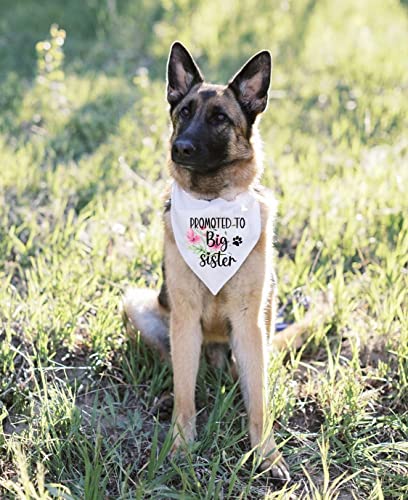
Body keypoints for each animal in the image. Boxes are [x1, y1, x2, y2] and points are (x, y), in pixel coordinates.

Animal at [121, 43, 310, 480]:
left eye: (220, 118)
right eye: (184, 112)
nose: (180, 148)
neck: (211, 205)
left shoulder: (249, 320)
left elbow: (258, 401)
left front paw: (266, 453)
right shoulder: (186, 318)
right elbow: (186, 396)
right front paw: (180, 447)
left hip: (259, 327)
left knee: (243, 376)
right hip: (141, 307)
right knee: (179, 370)